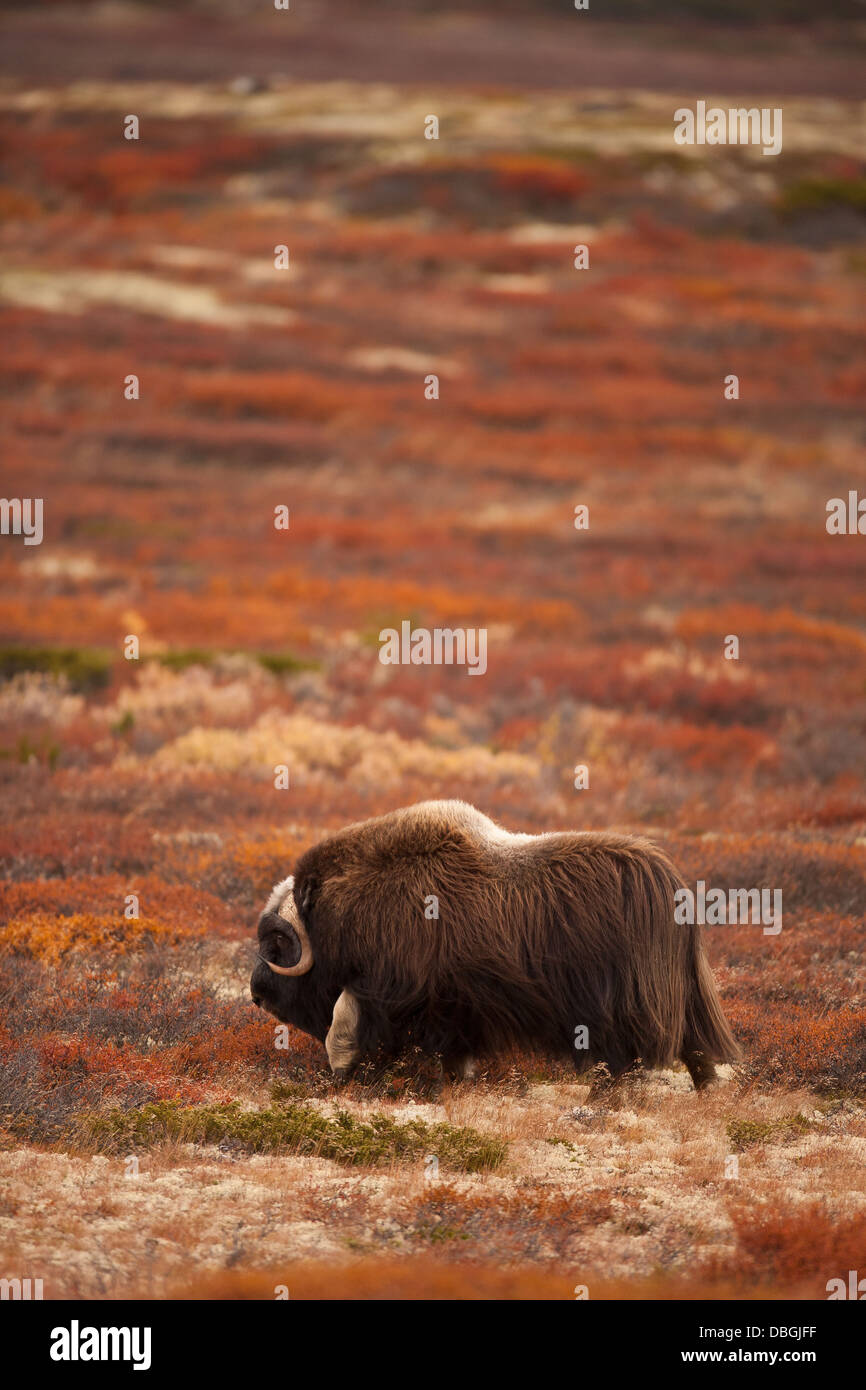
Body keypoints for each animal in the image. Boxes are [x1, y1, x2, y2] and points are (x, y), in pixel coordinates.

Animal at [249, 800, 739, 1088]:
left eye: (277, 942)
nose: (256, 992)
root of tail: (670, 883)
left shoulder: (383, 991)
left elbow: (348, 1031)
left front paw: (351, 1079)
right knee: (695, 1051)